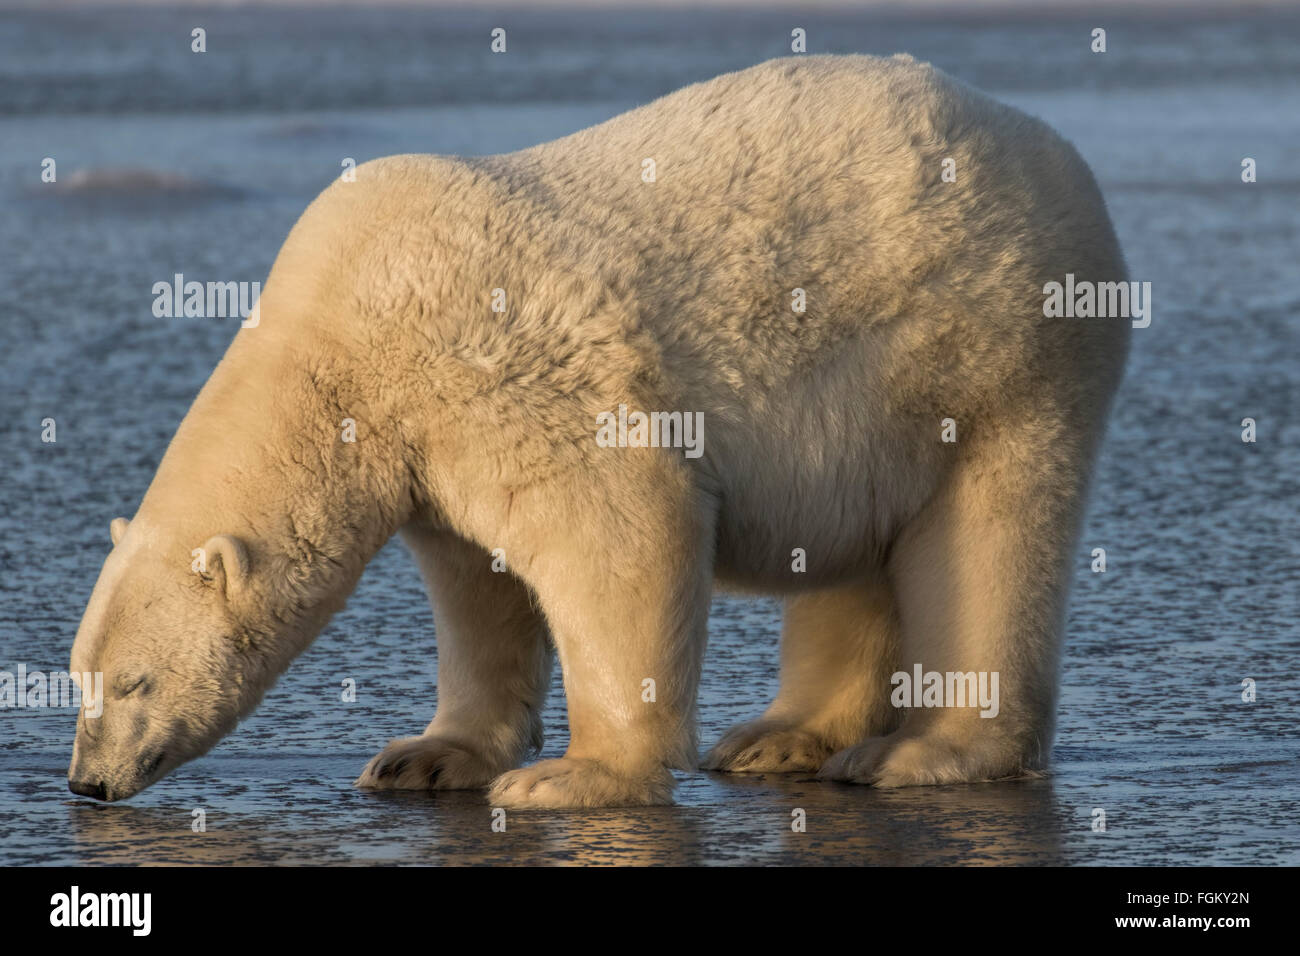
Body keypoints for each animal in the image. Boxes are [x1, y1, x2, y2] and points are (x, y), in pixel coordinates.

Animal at [67, 54, 1128, 808]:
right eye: (79, 678)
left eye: (134, 684)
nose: (88, 783)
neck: (340, 343)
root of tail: (1052, 146)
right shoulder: (427, 449)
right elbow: (478, 583)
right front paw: (423, 756)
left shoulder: (501, 372)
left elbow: (615, 536)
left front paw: (576, 778)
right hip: (889, 401)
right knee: (849, 548)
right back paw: (776, 738)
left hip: (997, 352)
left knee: (987, 541)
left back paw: (922, 754)